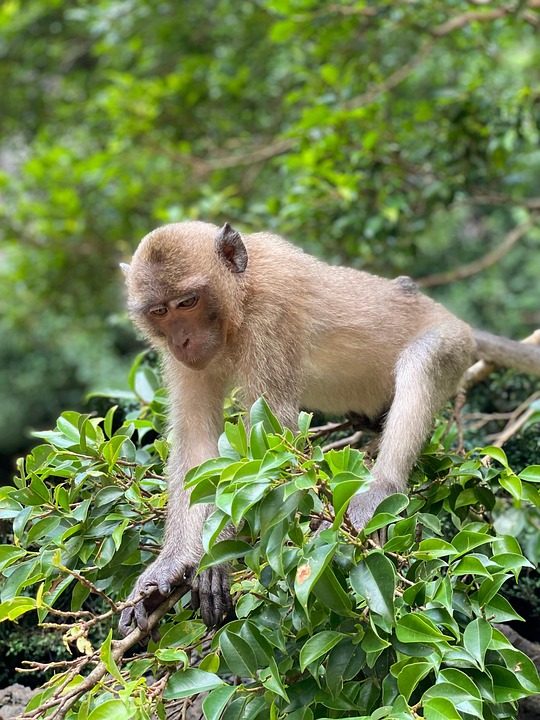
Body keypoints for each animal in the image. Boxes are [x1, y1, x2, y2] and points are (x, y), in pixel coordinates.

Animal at [118, 220, 540, 635]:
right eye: (160, 311)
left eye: (188, 302)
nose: (182, 340)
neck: (241, 298)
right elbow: (196, 442)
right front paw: (175, 564)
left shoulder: (271, 317)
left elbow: (271, 443)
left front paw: (219, 554)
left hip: (452, 341)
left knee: (423, 360)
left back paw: (381, 487)